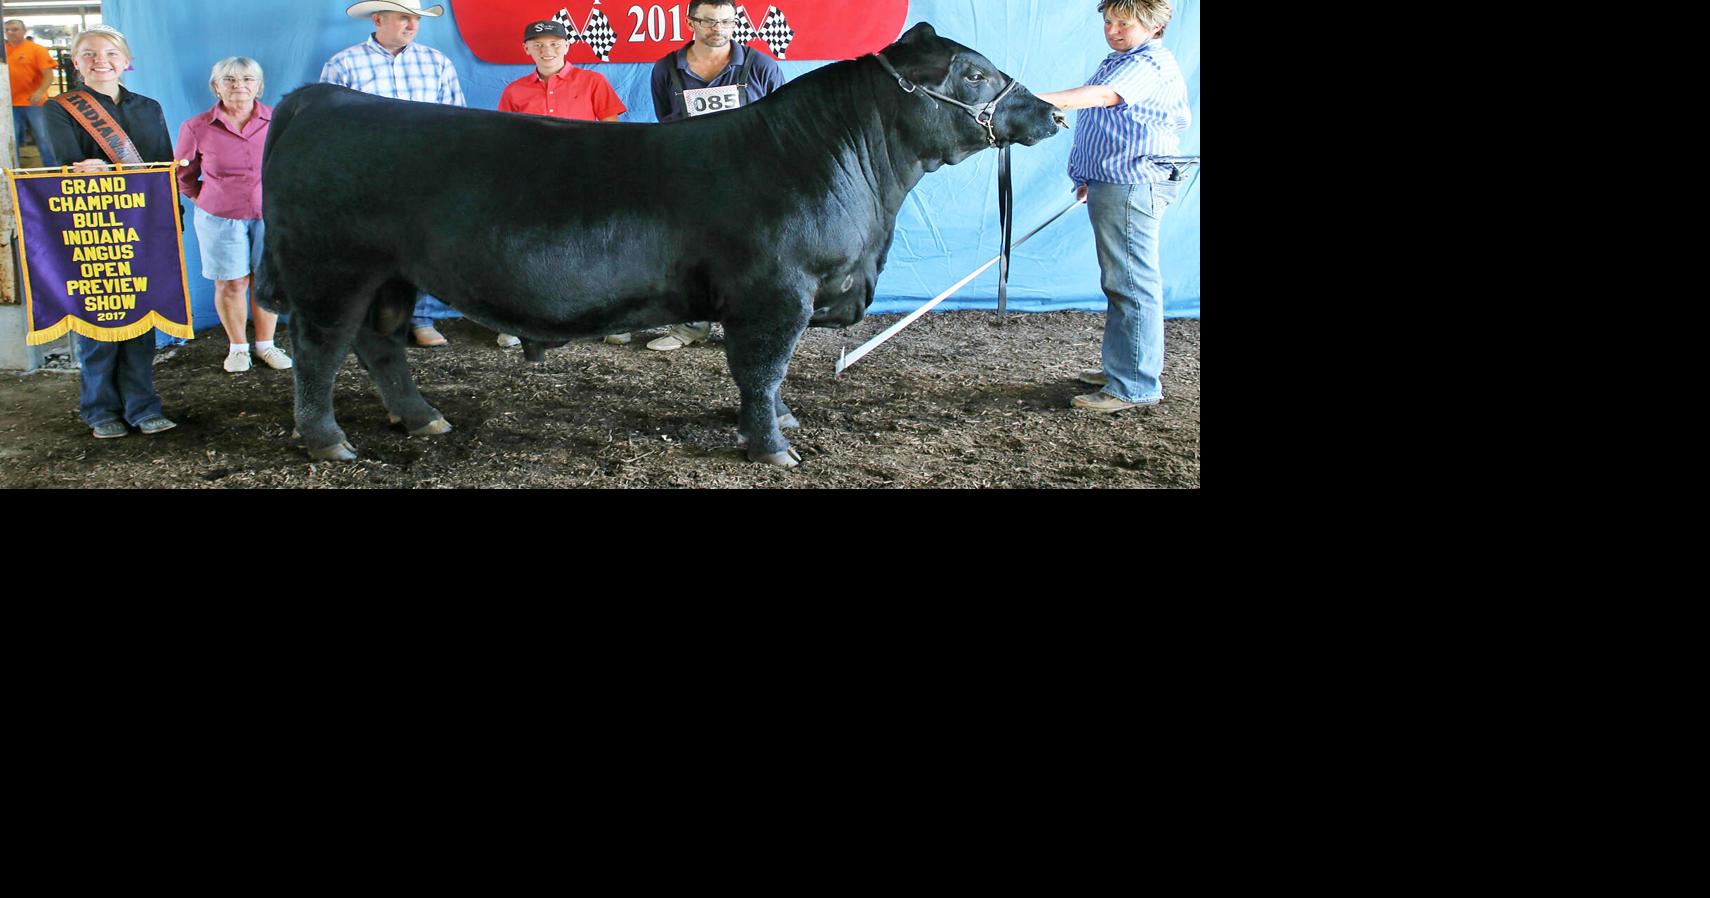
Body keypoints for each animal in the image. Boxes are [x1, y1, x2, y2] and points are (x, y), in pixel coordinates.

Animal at [256, 23, 1061, 467]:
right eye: (977, 73)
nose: (1052, 112)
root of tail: (322, 98)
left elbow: (767, 378)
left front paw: (780, 423)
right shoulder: (776, 293)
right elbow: (763, 371)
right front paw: (773, 447)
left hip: (390, 275)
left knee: (380, 343)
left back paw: (421, 416)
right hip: (330, 270)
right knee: (320, 349)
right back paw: (326, 439)